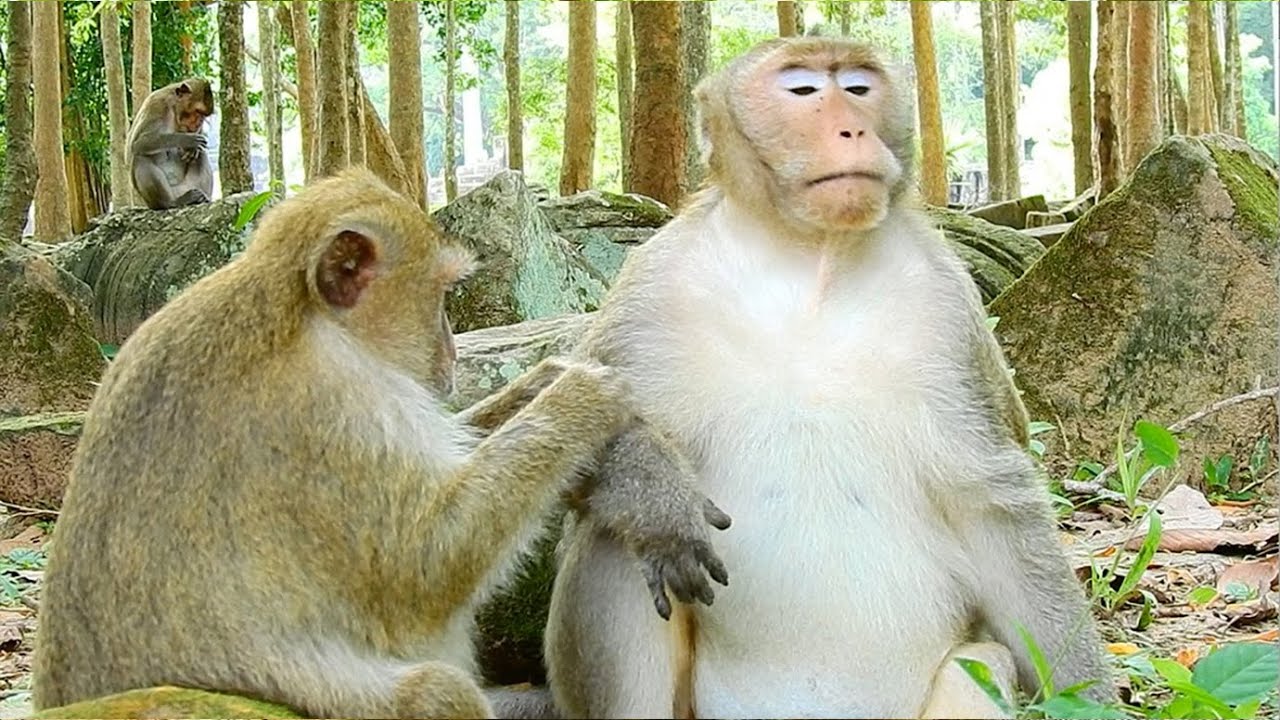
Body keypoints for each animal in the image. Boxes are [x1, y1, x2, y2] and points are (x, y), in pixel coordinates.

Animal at [32, 168, 638, 720]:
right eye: (443, 295)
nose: (452, 350)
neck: (299, 310)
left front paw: (541, 383)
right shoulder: (333, 415)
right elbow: (423, 571)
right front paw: (582, 397)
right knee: (439, 691)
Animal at [127, 78, 215, 210]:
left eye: (204, 115)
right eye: (198, 111)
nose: (200, 122)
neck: (174, 109)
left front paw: (191, 148)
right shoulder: (157, 105)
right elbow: (138, 143)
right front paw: (187, 141)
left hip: (188, 185)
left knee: (201, 152)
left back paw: (202, 198)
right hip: (159, 198)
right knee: (140, 156)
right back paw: (170, 202)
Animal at [543, 37, 1115, 719]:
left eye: (860, 88)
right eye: (803, 89)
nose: (853, 129)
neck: (809, 261)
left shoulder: (950, 306)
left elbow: (994, 502)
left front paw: (1093, 697)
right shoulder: (650, 288)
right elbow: (555, 417)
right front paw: (655, 493)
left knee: (984, 660)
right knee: (612, 536)